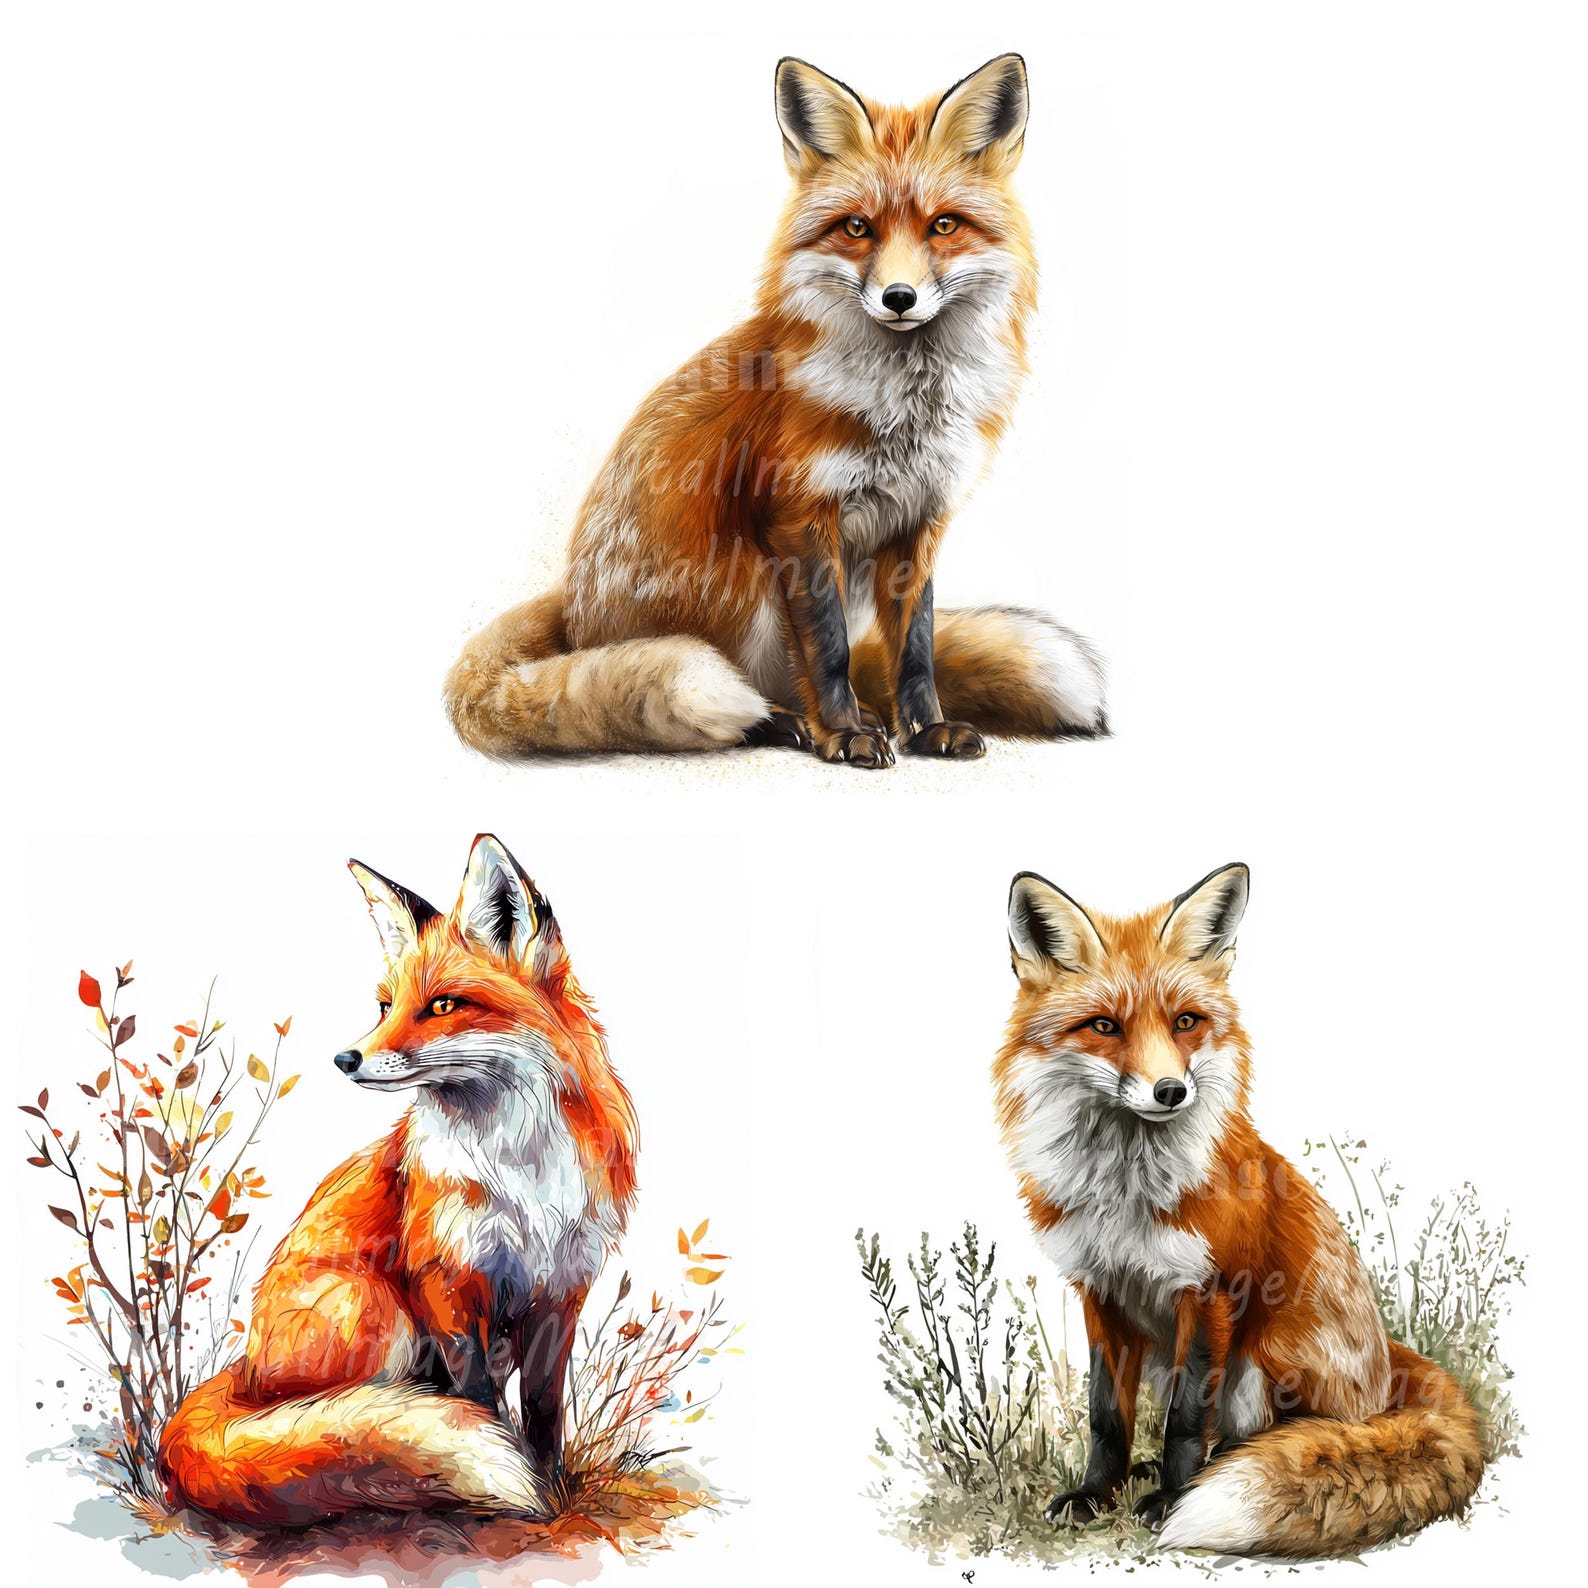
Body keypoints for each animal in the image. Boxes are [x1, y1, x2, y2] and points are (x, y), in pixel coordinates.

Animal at [157, 835, 638, 1527]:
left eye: (442, 1005)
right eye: (385, 1006)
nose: (345, 1058)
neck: (521, 1171)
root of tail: (243, 1372)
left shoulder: (562, 1287)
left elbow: (545, 1410)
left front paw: (554, 1493)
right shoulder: (445, 1278)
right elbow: (479, 1401)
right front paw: (515, 1489)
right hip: (375, 1309)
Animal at [446, 52, 1107, 769]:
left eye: (944, 225)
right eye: (856, 228)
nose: (899, 297)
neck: (905, 410)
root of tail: (569, 609)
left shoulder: (920, 520)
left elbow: (916, 648)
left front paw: (925, 729)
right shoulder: (798, 519)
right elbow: (828, 651)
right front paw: (843, 735)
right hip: (741, 585)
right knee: (757, 684)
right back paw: (785, 722)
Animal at [995, 863, 1484, 1556]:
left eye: (1185, 1022)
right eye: (1104, 1027)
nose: (1170, 1090)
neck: (1126, 1193)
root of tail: (1389, 1368)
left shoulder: (1210, 1291)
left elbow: (1184, 1420)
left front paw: (1172, 1501)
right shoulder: (1101, 1289)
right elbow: (1106, 1415)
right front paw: (1094, 1496)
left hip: (1266, 1351)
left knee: (1265, 1437)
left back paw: (1213, 1472)